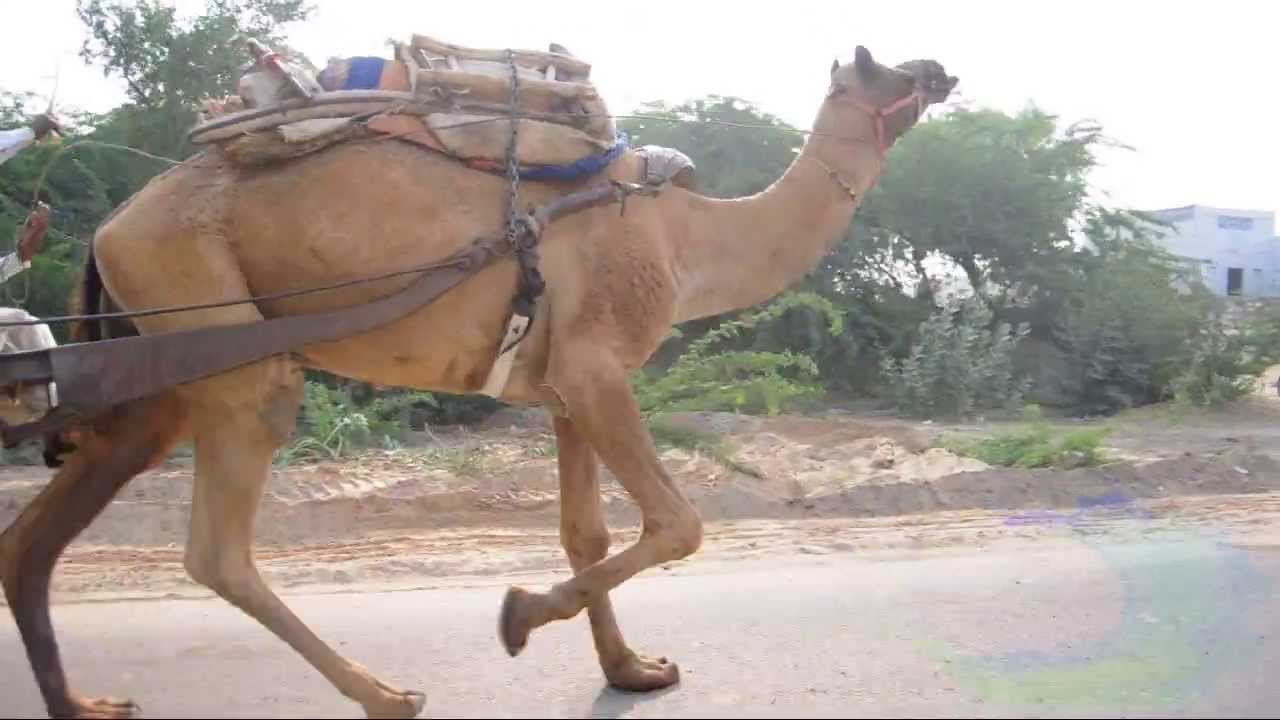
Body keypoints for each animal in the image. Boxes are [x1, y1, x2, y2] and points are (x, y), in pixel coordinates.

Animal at [0, 45, 957, 718]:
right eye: (877, 63)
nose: (941, 71)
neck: (684, 242)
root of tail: (110, 230)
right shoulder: (597, 368)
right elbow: (678, 524)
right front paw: (519, 617)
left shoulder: (565, 385)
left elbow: (585, 534)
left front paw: (632, 669)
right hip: (221, 326)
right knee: (218, 548)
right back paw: (387, 695)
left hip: (159, 368)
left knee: (38, 536)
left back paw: (84, 705)